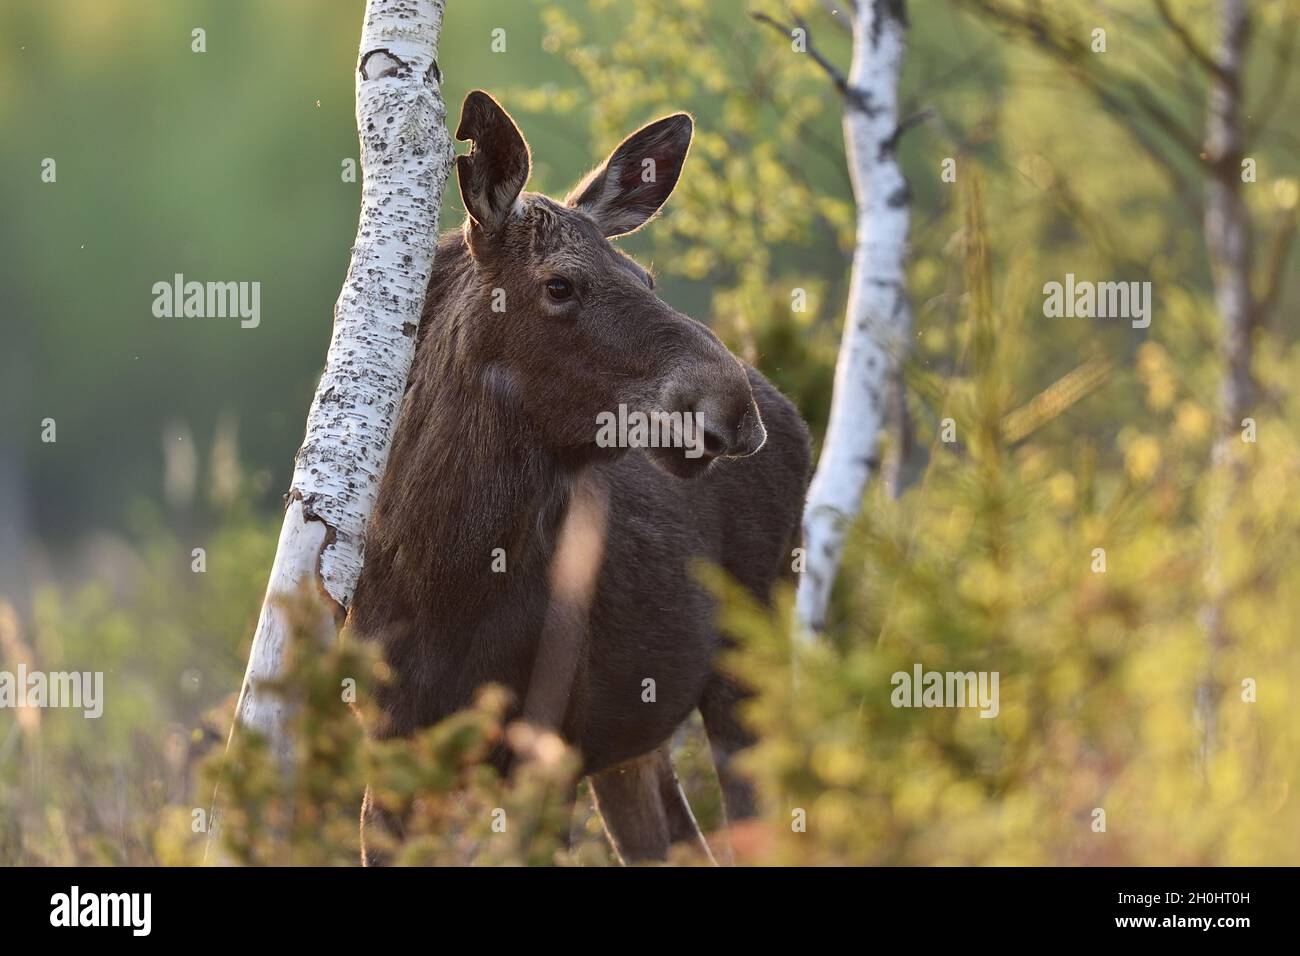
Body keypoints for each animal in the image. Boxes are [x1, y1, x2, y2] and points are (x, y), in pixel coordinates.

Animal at [347, 90, 811, 865]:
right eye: (559, 284)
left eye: (646, 278)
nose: (729, 404)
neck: (440, 576)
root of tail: (795, 415)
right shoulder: (389, 753)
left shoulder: (551, 745)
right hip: (633, 745)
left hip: (749, 663)